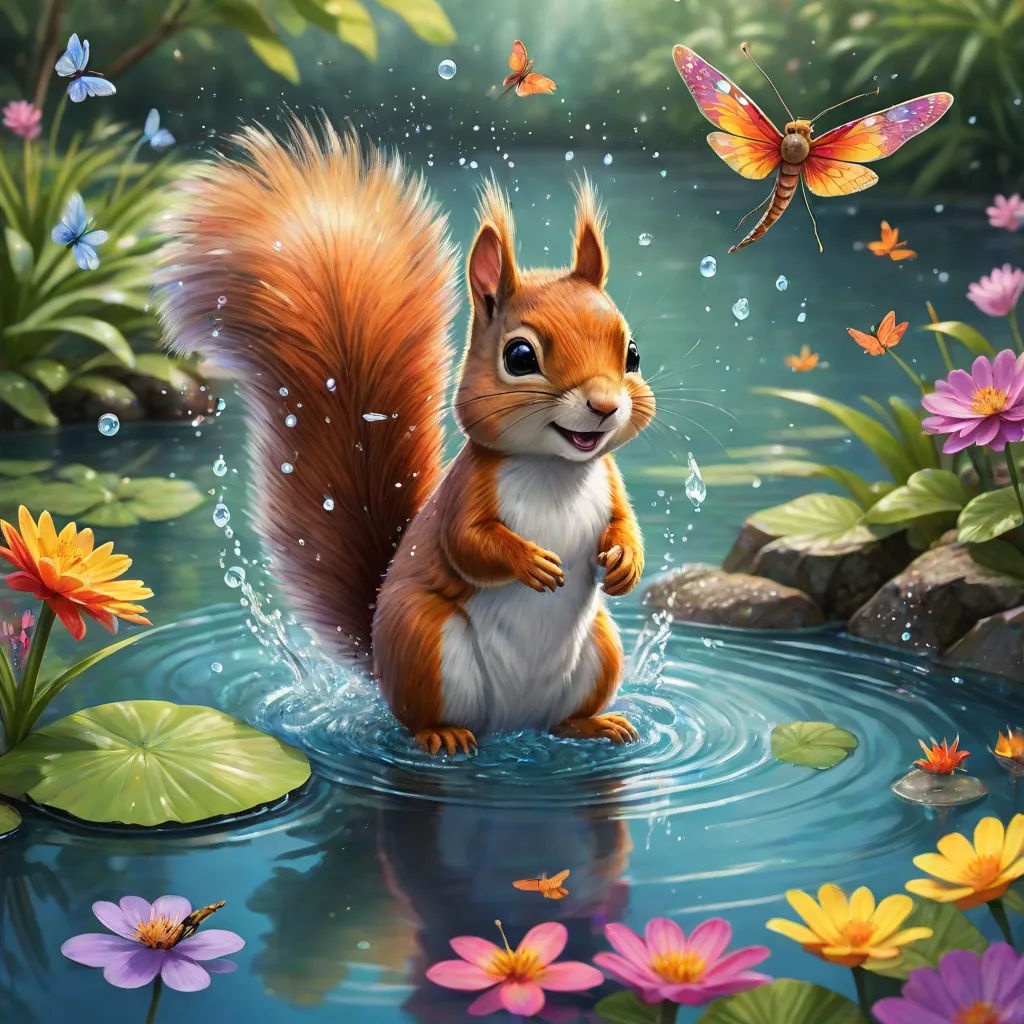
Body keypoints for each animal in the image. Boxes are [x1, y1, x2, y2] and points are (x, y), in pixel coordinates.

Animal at [158, 117, 655, 755]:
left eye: (632, 353)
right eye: (520, 357)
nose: (604, 406)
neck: (555, 468)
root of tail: (512, 724)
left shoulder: (608, 484)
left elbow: (625, 524)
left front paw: (625, 562)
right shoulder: (465, 494)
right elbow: (467, 544)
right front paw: (530, 562)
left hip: (600, 647)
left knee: (562, 717)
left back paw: (593, 724)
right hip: (425, 639)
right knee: (422, 715)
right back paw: (443, 735)